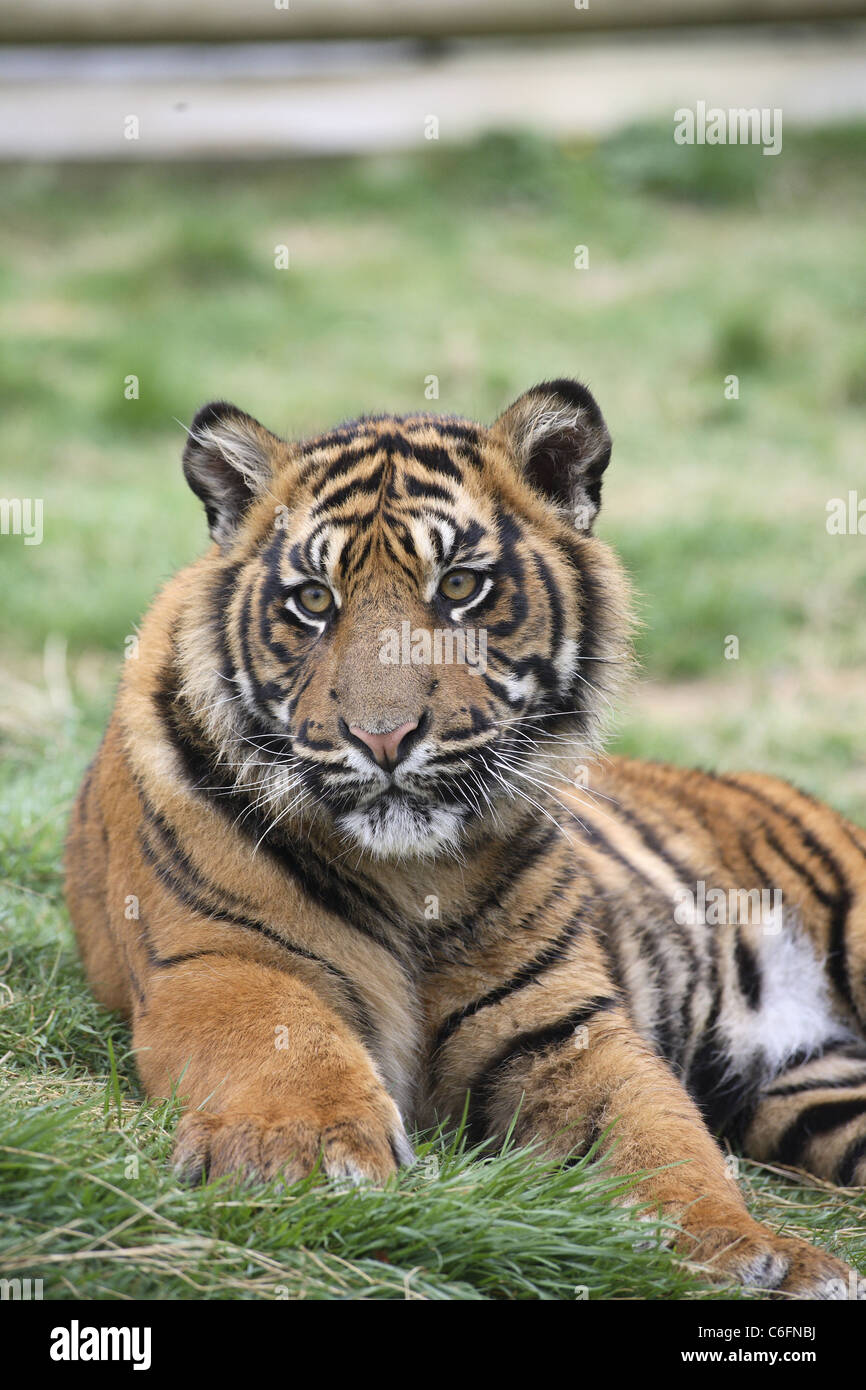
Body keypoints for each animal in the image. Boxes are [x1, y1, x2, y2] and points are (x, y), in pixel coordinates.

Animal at [65, 379, 866, 1299]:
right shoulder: (216, 961)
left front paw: (742, 1251)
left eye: (460, 585)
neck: (412, 875)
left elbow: (662, 1136)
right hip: (810, 1094)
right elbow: (281, 1041)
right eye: (314, 600)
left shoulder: (560, 1022)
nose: (381, 738)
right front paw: (292, 1157)